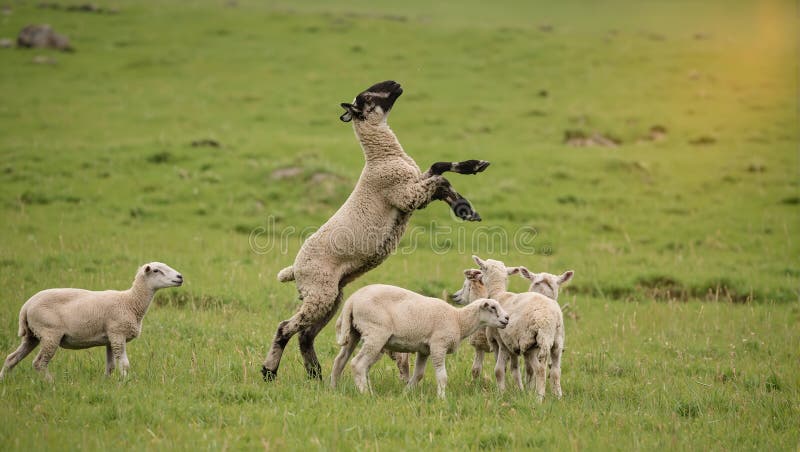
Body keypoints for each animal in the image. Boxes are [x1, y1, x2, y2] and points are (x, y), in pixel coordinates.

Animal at [0, 262, 183, 381]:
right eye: (157, 270)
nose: (180, 277)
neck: (130, 302)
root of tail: (26, 306)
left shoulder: (110, 339)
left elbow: (111, 366)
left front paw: (107, 382)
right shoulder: (118, 333)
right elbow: (125, 365)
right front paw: (126, 383)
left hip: (32, 335)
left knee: (11, 358)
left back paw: (3, 380)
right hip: (50, 333)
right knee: (39, 363)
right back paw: (51, 382)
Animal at [263, 80, 491, 381]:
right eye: (367, 96)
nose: (396, 84)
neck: (382, 157)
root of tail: (294, 269)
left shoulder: (414, 185)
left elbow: (439, 169)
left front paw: (470, 185)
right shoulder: (405, 195)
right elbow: (440, 179)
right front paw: (464, 203)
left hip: (331, 297)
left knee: (305, 335)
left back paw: (316, 374)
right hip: (319, 291)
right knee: (286, 327)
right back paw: (269, 370)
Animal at [330, 284, 509, 398]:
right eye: (493, 307)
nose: (507, 319)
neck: (458, 320)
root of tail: (351, 300)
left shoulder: (424, 350)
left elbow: (419, 374)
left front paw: (406, 393)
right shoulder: (438, 345)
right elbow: (442, 376)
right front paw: (442, 398)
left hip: (354, 332)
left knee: (340, 361)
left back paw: (334, 388)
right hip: (376, 332)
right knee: (357, 364)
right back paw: (367, 394)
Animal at [472, 256, 564, 401]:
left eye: (481, 268)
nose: (477, 276)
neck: (498, 294)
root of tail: (548, 318)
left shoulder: (499, 342)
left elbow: (499, 370)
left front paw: (501, 393)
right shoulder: (511, 345)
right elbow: (512, 369)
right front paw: (516, 390)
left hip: (533, 342)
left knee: (540, 370)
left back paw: (539, 398)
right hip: (557, 341)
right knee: (555, 370)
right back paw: (558, 396)